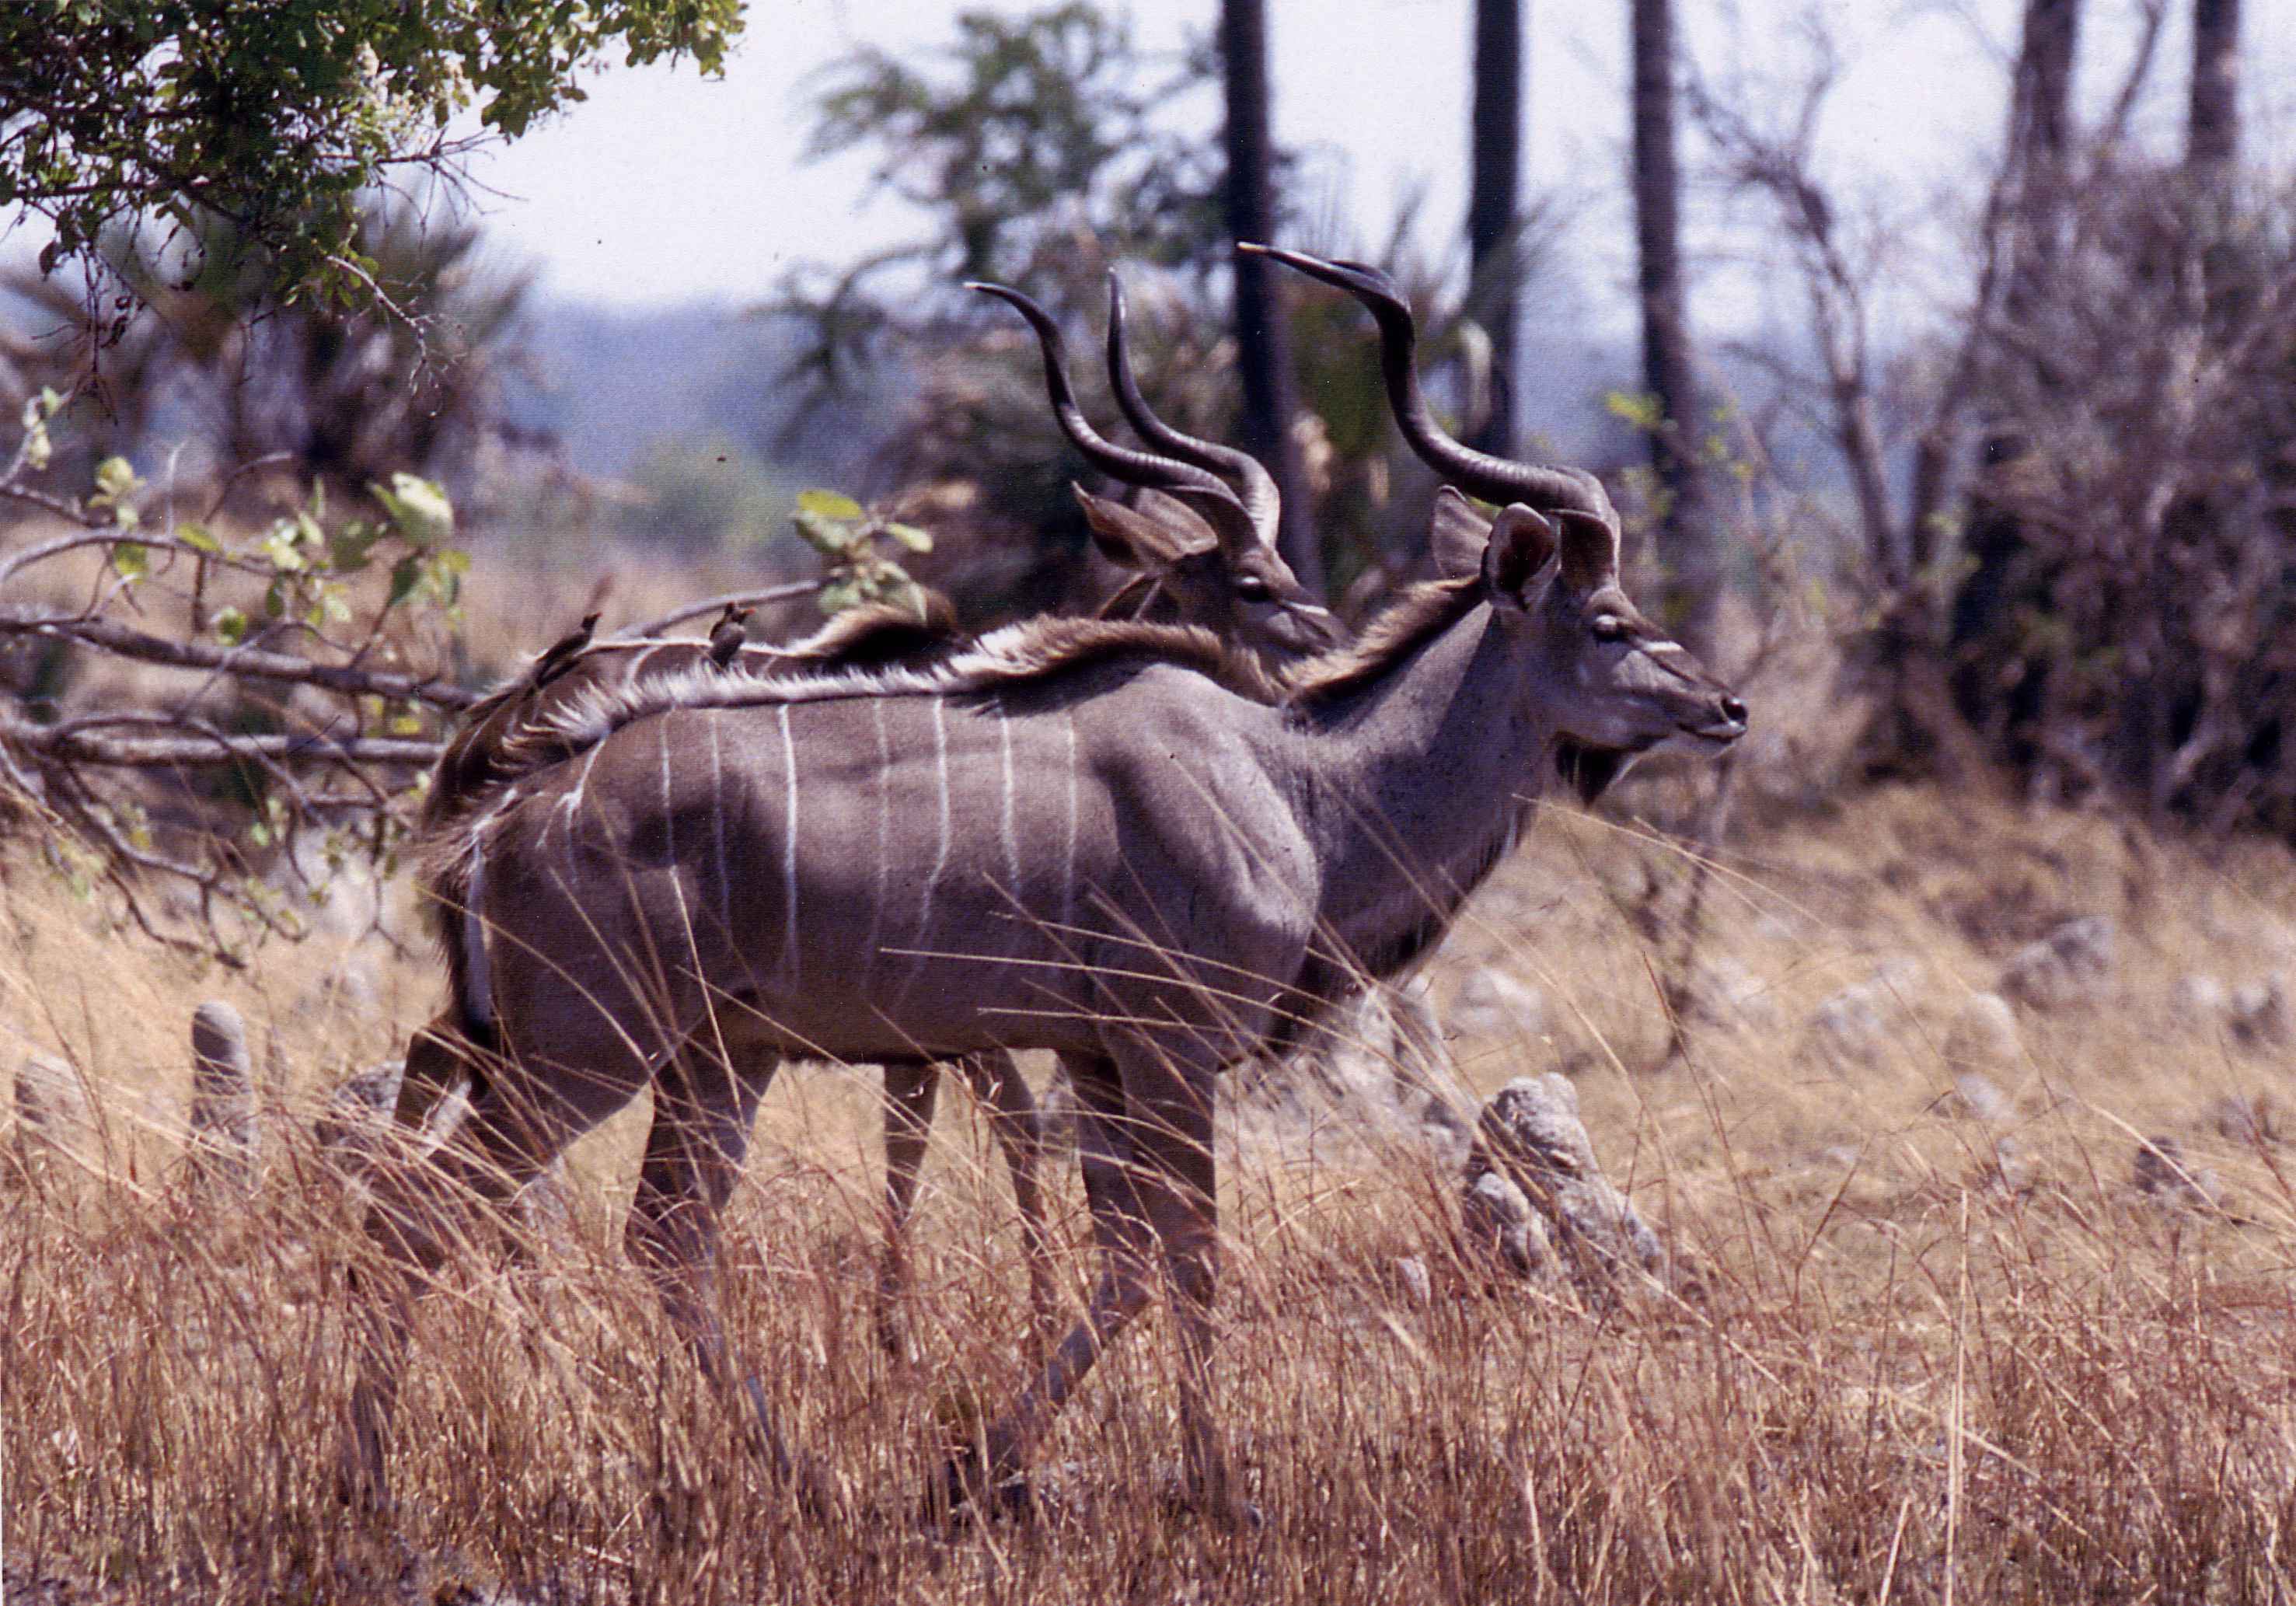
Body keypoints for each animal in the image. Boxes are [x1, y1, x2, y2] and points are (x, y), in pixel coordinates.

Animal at [343, 252, 1746, 1515]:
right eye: (1609, 620)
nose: (1723, 706)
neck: (1297, 786)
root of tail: (497, 817)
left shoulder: (1092, 1055)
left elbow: (1121, 1262)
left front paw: (970, 1473)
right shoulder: (1171, 1048)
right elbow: (1190, 1258)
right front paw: (1215, 1488)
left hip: (713, 1060)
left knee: (660, 1243)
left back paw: (801, 1484)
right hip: (585, 1051)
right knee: (418, 1207)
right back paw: (370, 1482)